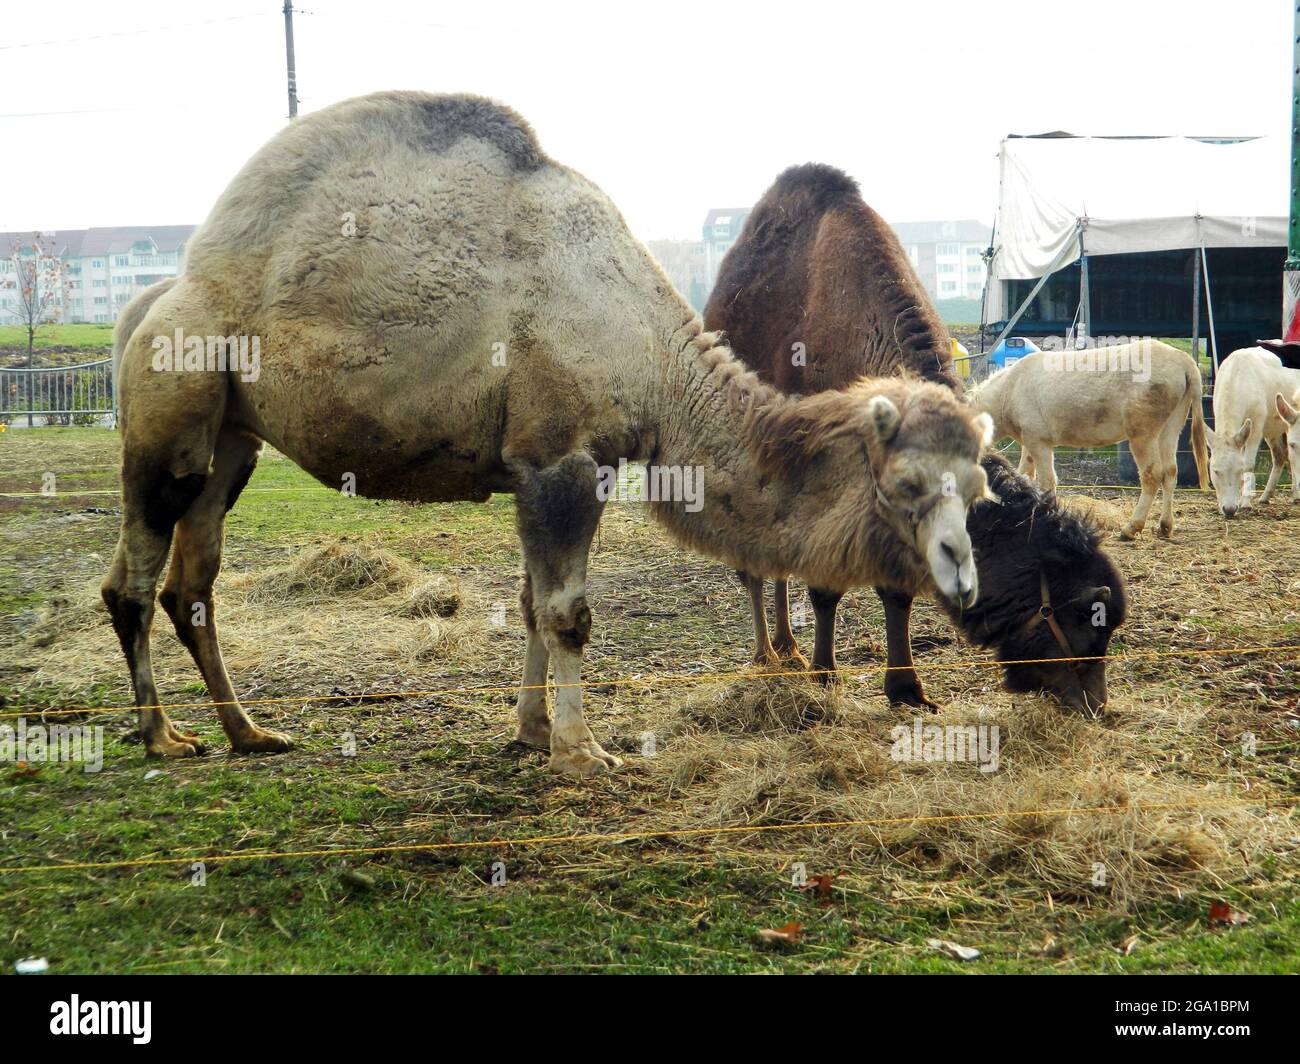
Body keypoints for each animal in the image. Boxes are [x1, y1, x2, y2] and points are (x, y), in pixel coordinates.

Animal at [104, 92, 997, 777]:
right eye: (907, 486)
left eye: (982, 486)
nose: (962, 571)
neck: (659, 361)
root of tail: (150, 301)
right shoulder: (562, 460)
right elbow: (569, 613)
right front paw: (581, 751)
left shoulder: (549, 466)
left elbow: (534, 604)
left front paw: (532, 734)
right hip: (169, 403)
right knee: (133, 581)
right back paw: (162, 735)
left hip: (232, 437)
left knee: (192, 585)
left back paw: (249, 732)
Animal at [703, 164, 1127, 713]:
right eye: (1085, 619)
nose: (1094, 702)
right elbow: (826, 587)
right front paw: (826, 672)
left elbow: (896, 589)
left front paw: (905, 689)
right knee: (752, 557)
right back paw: (766, 654)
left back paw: (787, 646)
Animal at [971, 340, 1210, 539]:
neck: (1009, 389)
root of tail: (1182, 359)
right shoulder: (1029, 442)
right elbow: (1024, 476)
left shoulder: (1038, 441)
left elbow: (1047, 482)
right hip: (1171, 427)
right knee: (1170, 473)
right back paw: (1165, 526)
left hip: (1143, 435)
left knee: (1152, 477)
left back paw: (1132, 527)